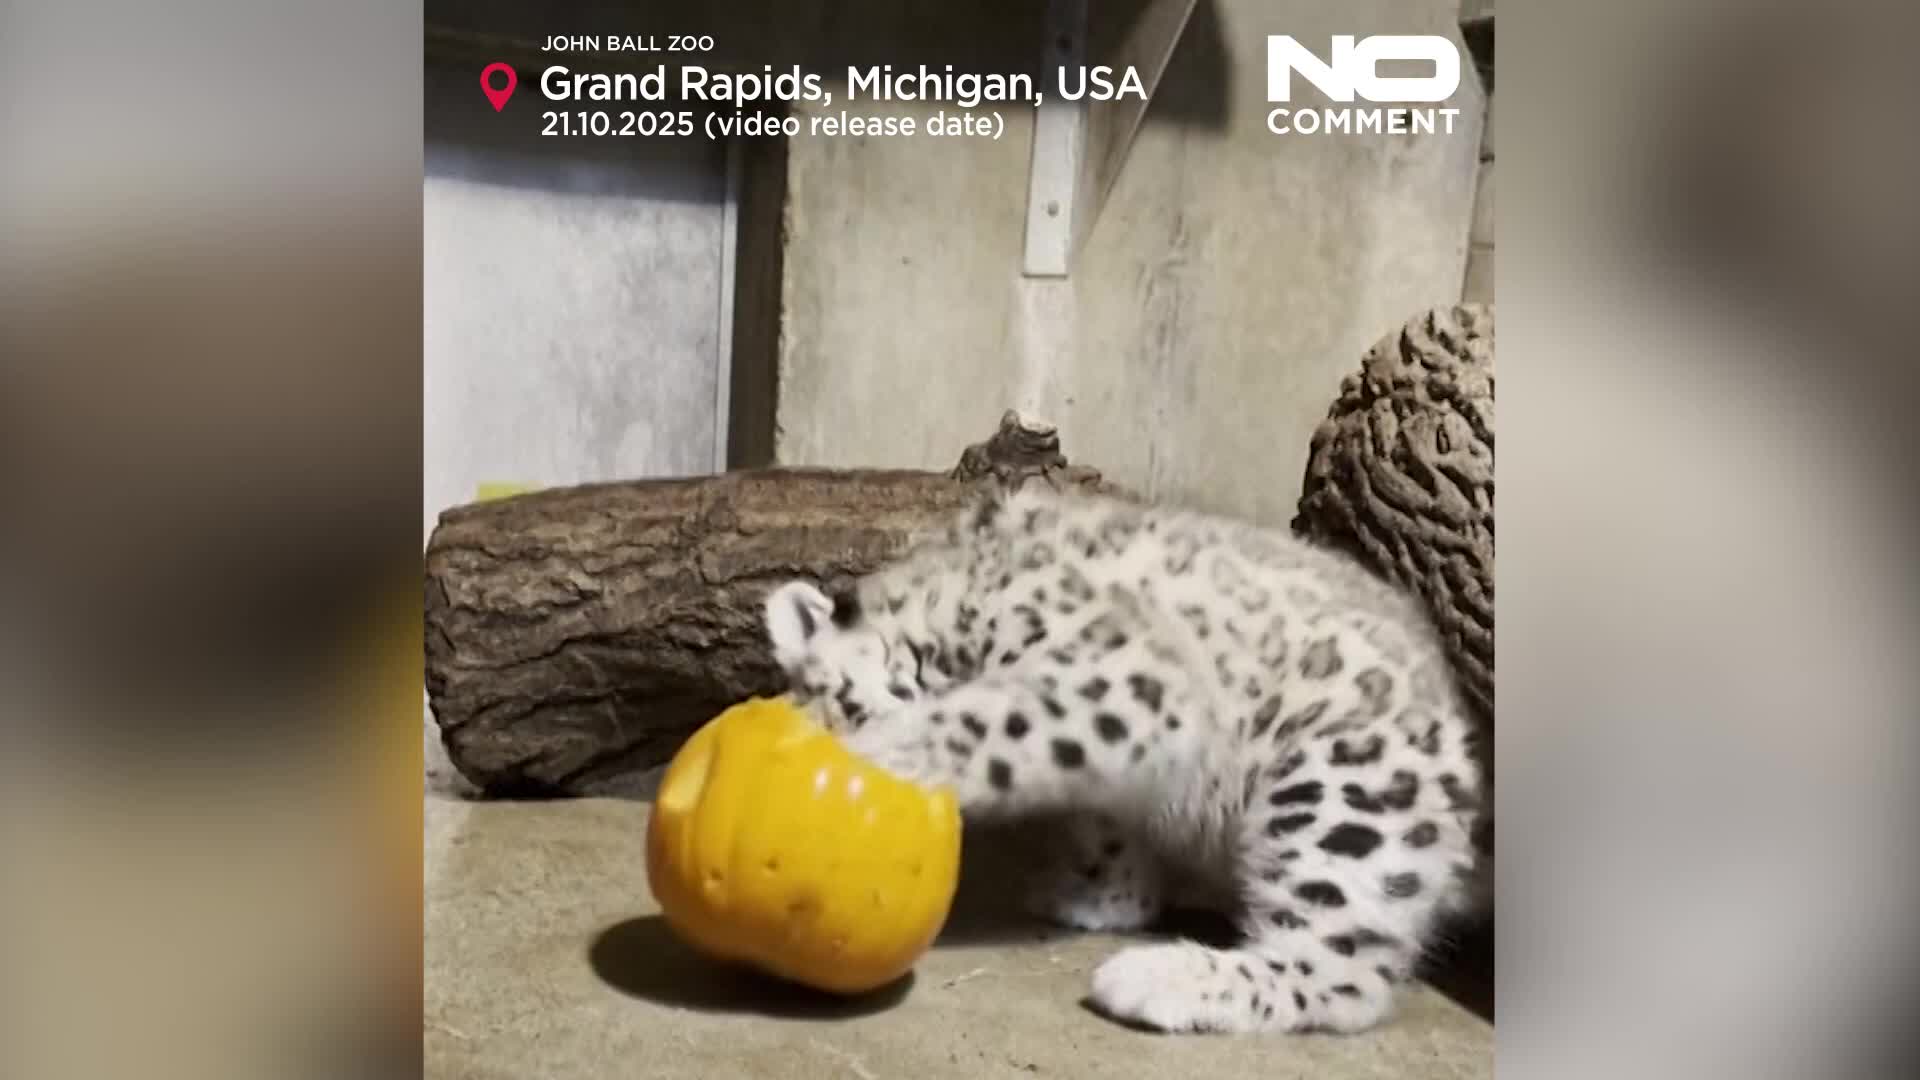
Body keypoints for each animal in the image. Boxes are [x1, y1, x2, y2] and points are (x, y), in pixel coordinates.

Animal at [762, 484, 1483, 1034]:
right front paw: (1105, 895)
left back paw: (1158, 977)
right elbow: (1102, 818)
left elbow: (999, 718)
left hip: (1345, 789)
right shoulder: (1113, 777)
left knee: (1341, 969)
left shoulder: (1120, 670)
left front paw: (885, 748)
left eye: (835, 703)